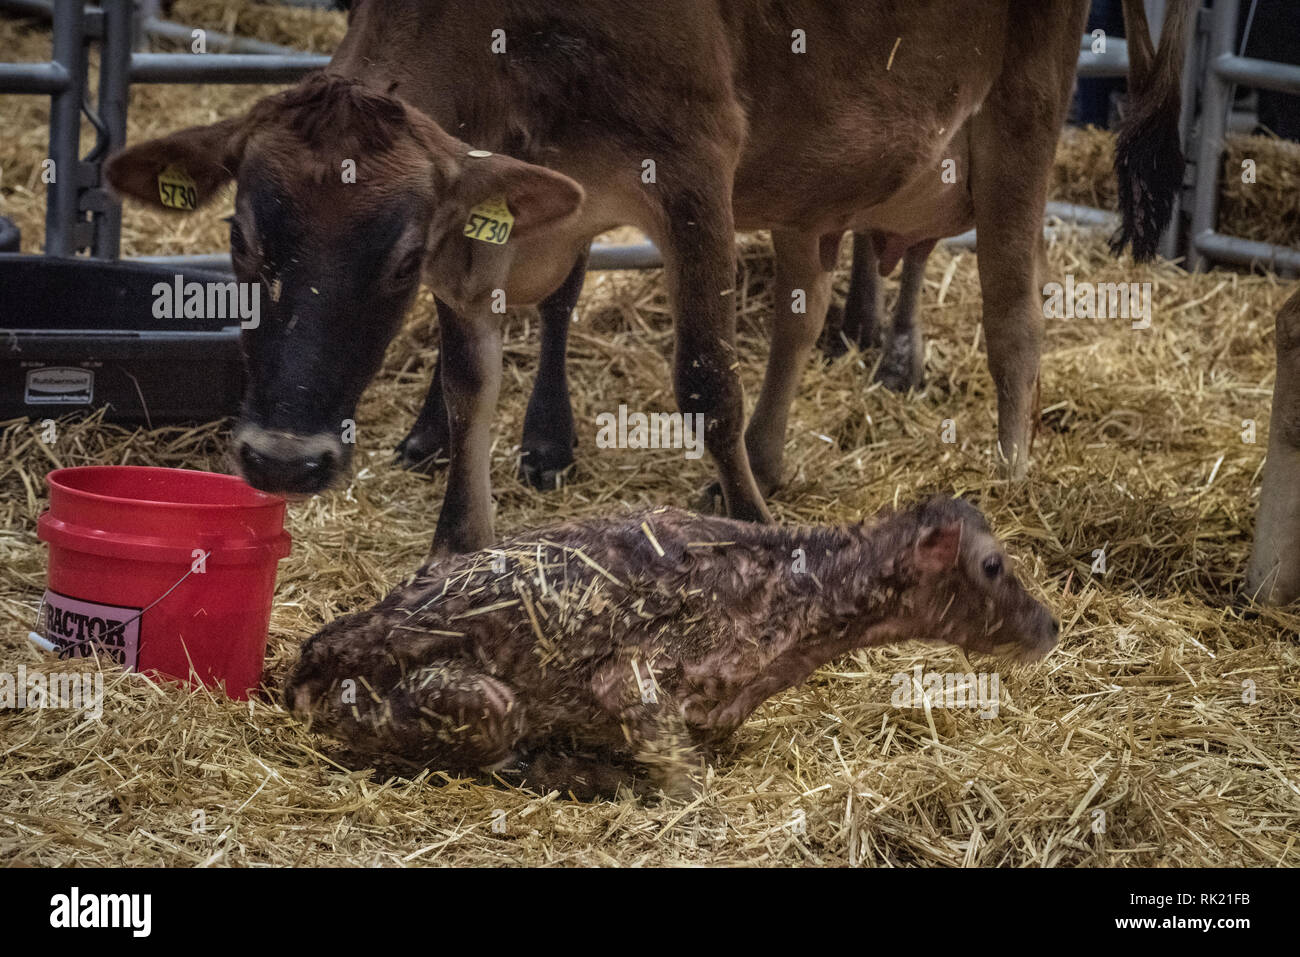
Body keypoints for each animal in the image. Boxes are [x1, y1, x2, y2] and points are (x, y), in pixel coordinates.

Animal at [105, 0, 1193, 557]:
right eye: (241, 238)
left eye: (402, 257)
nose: (284, 462)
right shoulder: (502, 207)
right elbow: (468, 384)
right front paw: (460, 538)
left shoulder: (695, 161)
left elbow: (705, 378)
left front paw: (754, 530)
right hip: (811, 176)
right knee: (799, 318)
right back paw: (772, 456)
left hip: (1022, 109)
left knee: (1013, 308)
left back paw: (1008, 470)